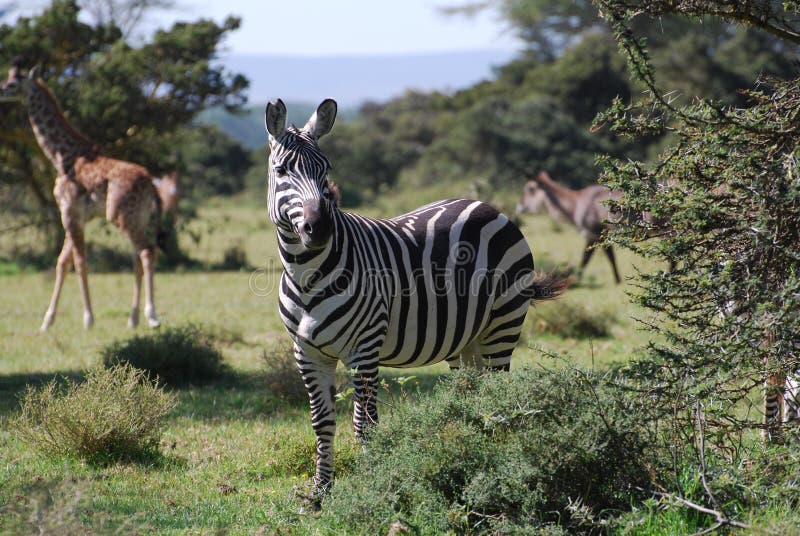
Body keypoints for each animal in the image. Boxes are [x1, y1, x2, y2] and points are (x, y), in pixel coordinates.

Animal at [1, 61, 163, 331]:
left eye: (12, 83)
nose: (0, 91)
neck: (62, 156)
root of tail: (151, 184)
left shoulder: (68, 211)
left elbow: (79, 261)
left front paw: (88, 318)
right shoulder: (77, 217)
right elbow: (63, 262)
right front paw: (47, 321)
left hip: (121, 216)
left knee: (147, 252)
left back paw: (152, 316)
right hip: (139, 217)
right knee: (137, 259)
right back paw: (132, 319)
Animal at [263, 98, 568, 498]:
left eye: (325, 169)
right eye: (282, 170)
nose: (320, 228)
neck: (307, 274)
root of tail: (488, 206)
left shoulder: (365, 348)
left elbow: (365, 425)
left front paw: (372, 487)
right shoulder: (308, 353)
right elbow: (322, 423)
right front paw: (319, 493)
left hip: (504, 323)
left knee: (498, 394)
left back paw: (500, 466)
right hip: (467, 340)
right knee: (473, 395)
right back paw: (476, 459)